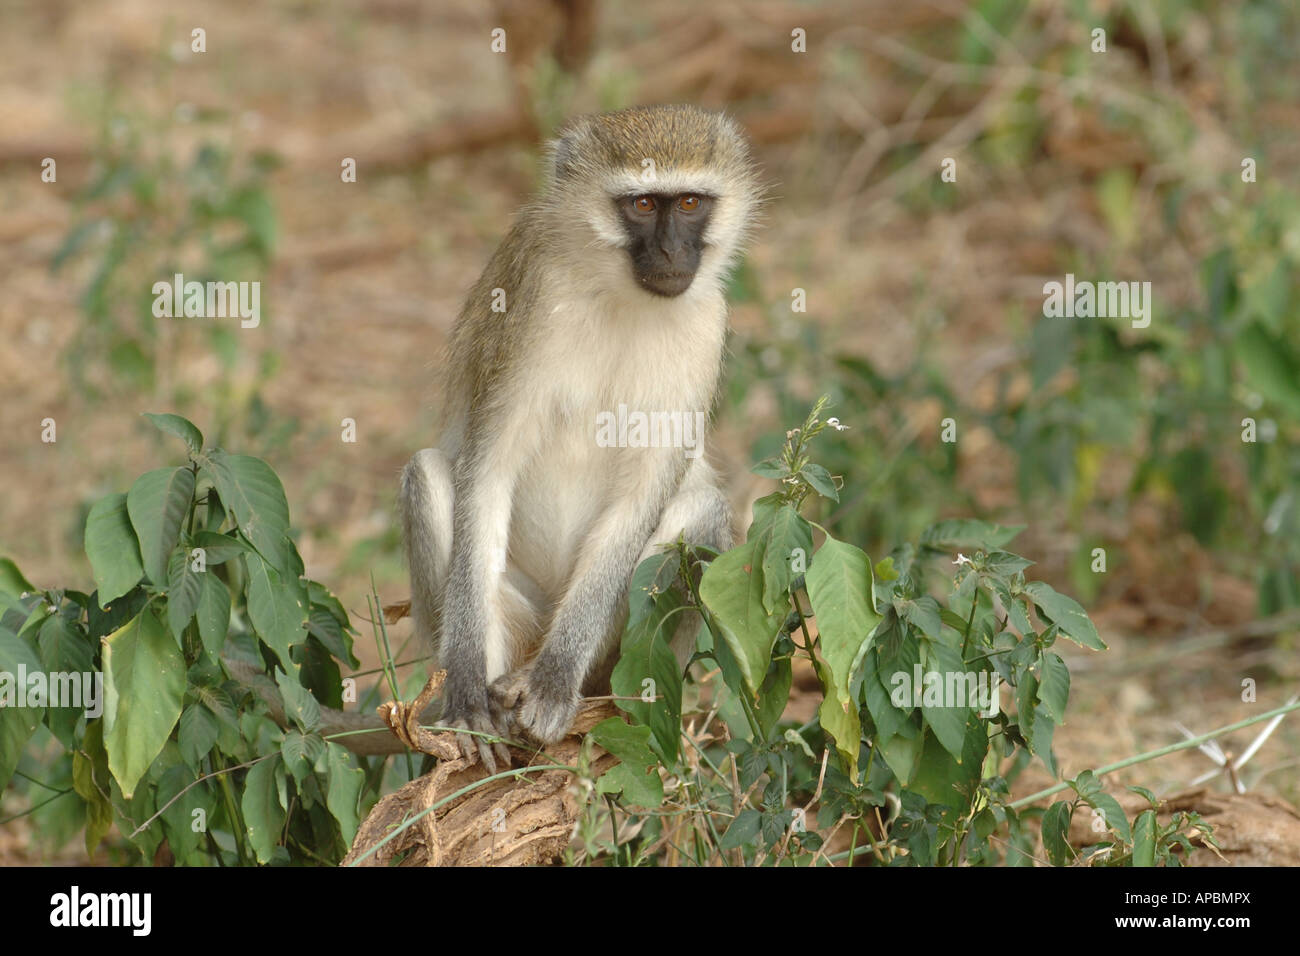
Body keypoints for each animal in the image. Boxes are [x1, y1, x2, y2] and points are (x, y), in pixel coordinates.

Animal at [399, 104, 763, 772]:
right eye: (642, 205)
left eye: (690, 202)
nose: (672, 250)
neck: (619, 292)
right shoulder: (531, 302)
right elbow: (487, 471)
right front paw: (464, 690)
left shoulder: (708, 324)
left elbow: (640, 501)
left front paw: (553, 681)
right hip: (518, 619)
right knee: (430, 478)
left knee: (702, 510)